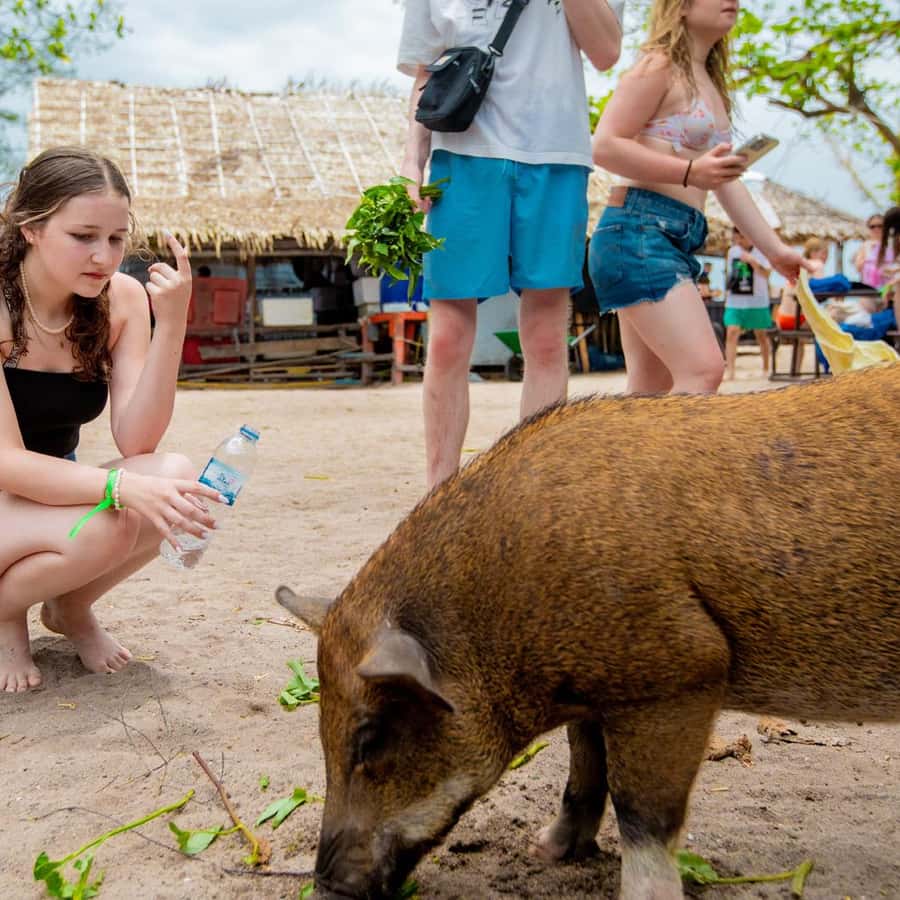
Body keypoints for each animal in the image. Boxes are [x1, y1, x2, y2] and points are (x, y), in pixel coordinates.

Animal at [277, 363, 900, 900]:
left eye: (370, 737)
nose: (326, 885)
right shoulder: (595, 694)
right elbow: (584, 771)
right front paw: (545, 852)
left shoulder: (680, 675)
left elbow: (642, 812)